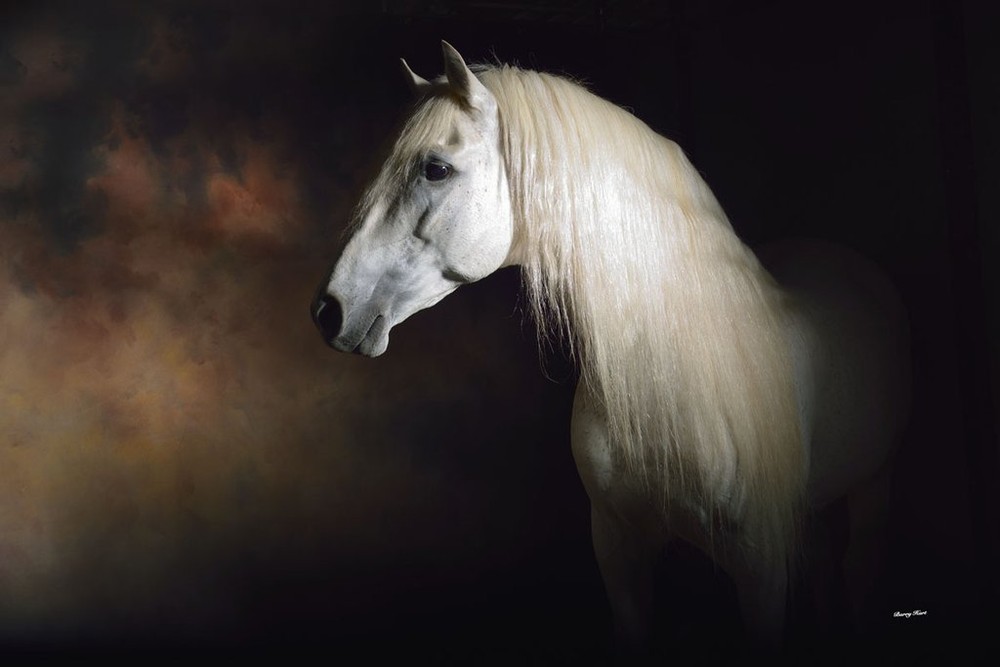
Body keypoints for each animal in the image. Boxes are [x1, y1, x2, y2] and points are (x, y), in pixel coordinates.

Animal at [311, 41, 911, 654]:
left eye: (435, 168)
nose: (329, 310)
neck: (670, 374)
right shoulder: (618, 550)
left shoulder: (760, 569)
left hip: (873, 488)